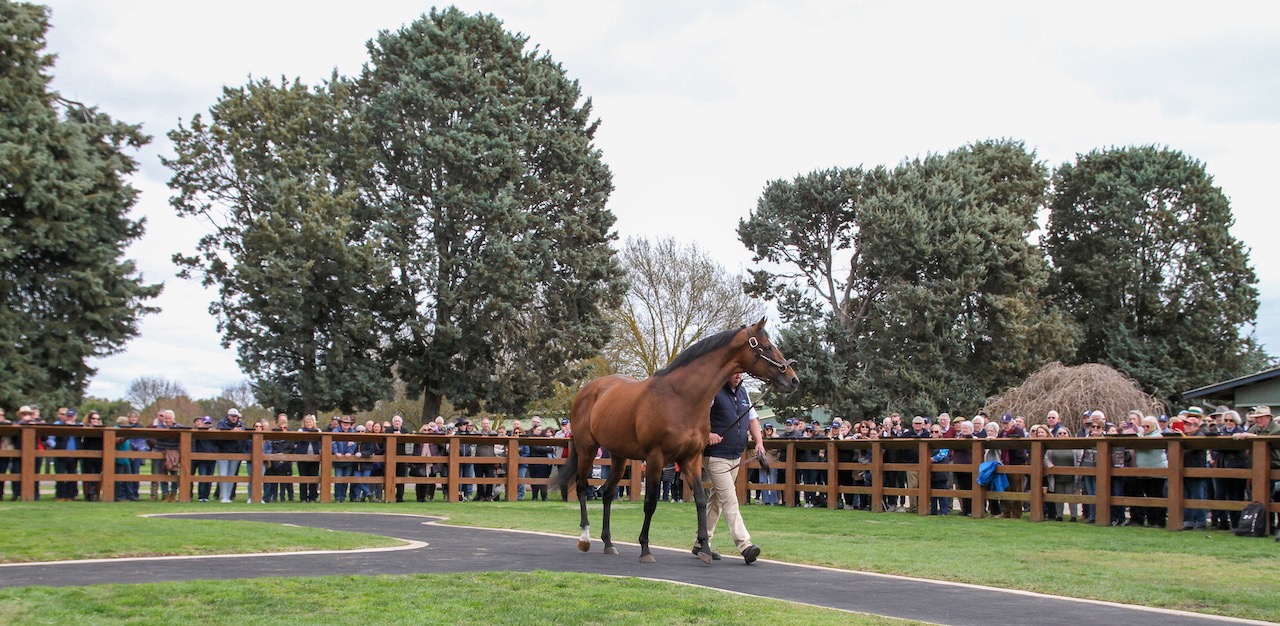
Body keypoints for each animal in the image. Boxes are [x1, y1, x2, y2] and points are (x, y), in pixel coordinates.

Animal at [552, 318, 799, 564]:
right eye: (767, 347)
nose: (793, 379)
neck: (681, 398)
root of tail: (587, 390)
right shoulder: (655, 458)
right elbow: (651, 502)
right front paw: (645, 549)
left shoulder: (691, 458)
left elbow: (701, 499)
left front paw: (705, 548)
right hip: (587, 449)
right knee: (582, 486)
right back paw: (585, 538)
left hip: (619, 457)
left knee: (607, 493)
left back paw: (608, 543)